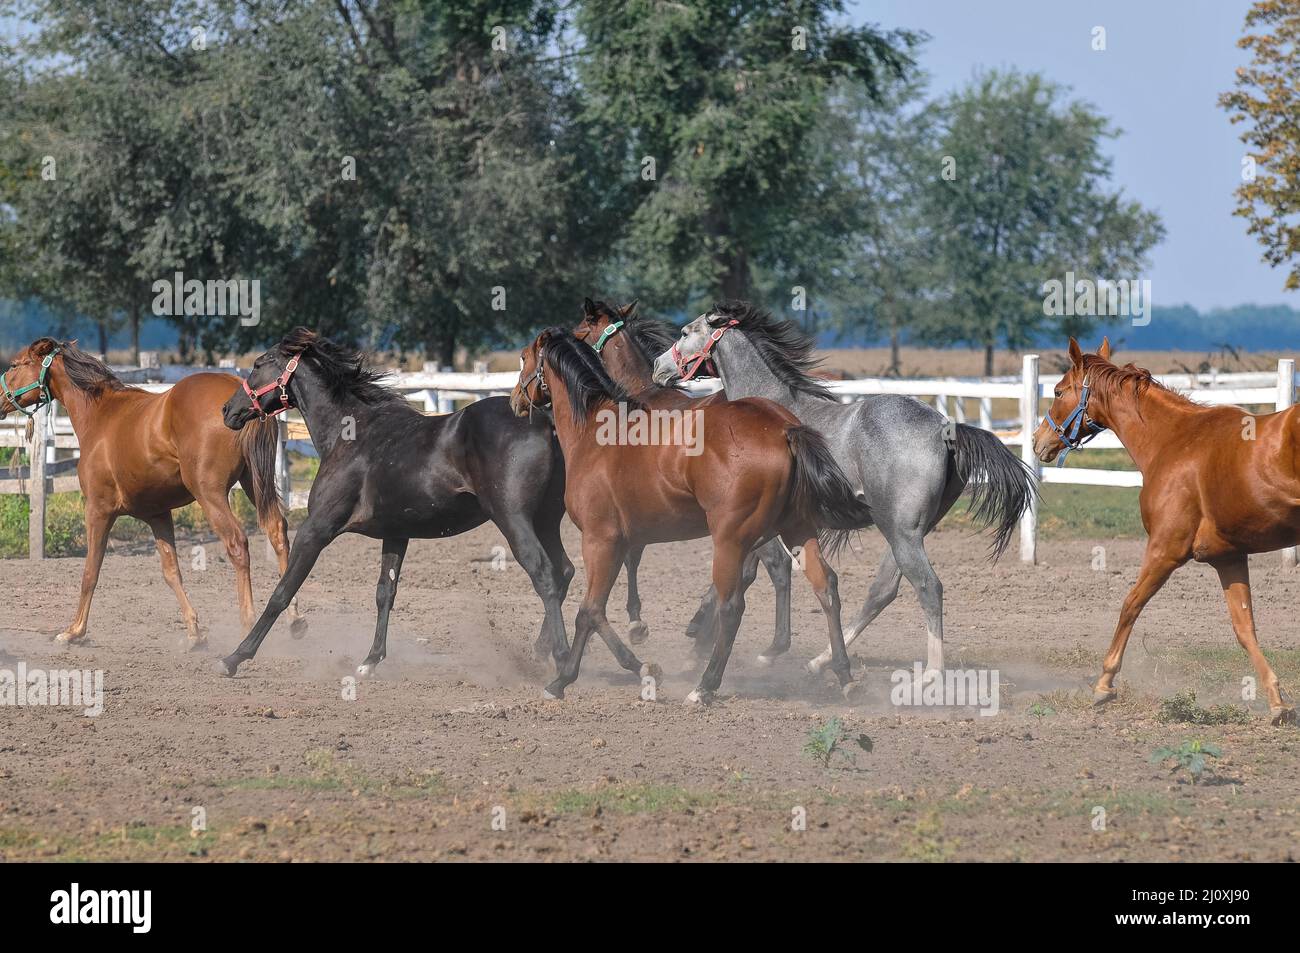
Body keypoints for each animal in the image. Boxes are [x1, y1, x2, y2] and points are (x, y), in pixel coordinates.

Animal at [0, 338, 300, 646]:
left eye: (14, 365)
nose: (0, 397)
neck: (101, 415)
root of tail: (243, 397)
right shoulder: (158, 514)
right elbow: (171, 571)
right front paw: (194, 633)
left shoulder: (98, 510)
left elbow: (90, 572)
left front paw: (74, 631)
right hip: (254, 482)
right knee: (277, 532)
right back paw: (293, 618)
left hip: (211, 494)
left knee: (238, 544)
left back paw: (248, 625)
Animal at [215, 327, 573, 678]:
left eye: (258, 364)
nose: (228, 411)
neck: (351, 436)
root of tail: (546, 423)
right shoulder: (396, 533)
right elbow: (384, 593)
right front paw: (370, 661)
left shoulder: (316, 529)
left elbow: (282, 592)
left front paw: (235, 657)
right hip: (545, 520)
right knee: (564, 571)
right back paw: (543, 653)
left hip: (513, 519)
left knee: (544, 574)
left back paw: (561, 665)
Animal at [651, 302, 1036, 677]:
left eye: (684, 332)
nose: (658, 367)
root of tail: (945, 428)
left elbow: (753, 573)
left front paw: (721, 641)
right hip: (908, 531)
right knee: (883, 590)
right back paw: (820, 660)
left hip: (901, 532)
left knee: (928, 587)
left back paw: (930, 674)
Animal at [1033, 337, 1297, 725]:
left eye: (1057, 390)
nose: (1038, 441)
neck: (1173, 441)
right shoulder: (1229, 558)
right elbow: (1244, 628)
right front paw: (1277, 702)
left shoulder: (1164, 551)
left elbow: (1130, 605)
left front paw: (1104, 684)